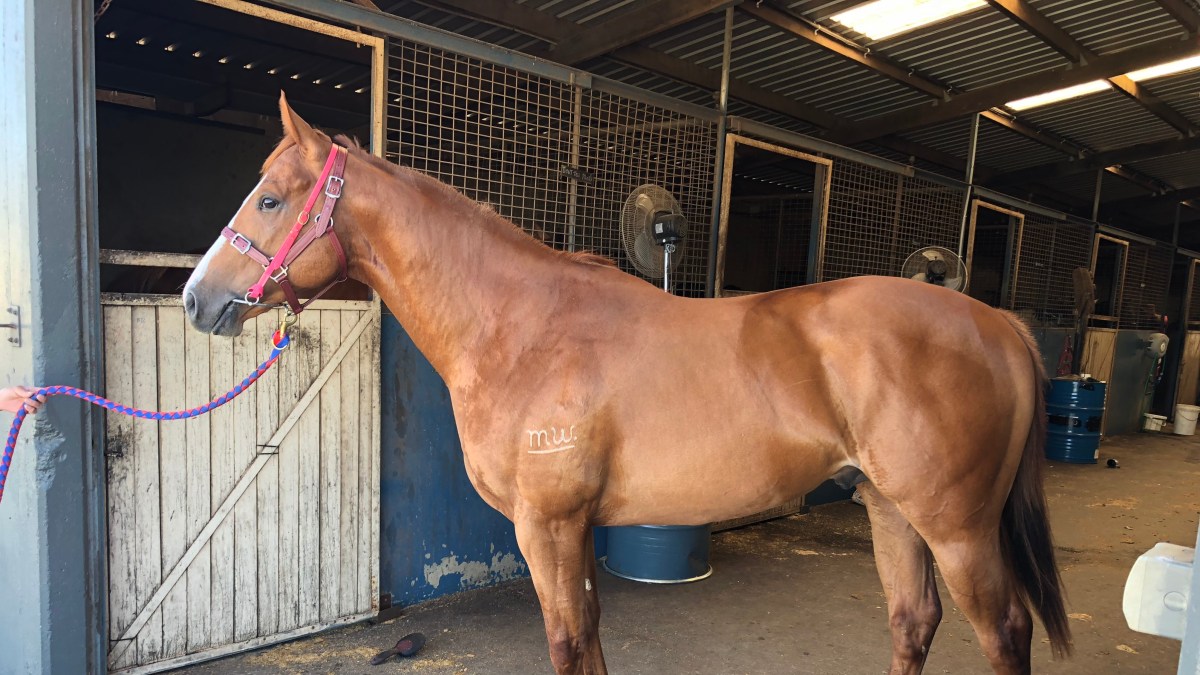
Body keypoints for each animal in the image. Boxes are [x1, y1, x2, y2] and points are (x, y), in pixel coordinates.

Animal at [183, 93, 1069, 675]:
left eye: (270, 198)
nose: (196, 298)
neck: (520, 326)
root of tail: (999, 324)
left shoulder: (547, 524)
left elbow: (567, 640)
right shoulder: (572, 527)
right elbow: (592, 634)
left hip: (957, 526)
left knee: (1003, 631)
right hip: (890, 506)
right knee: (914, 619)